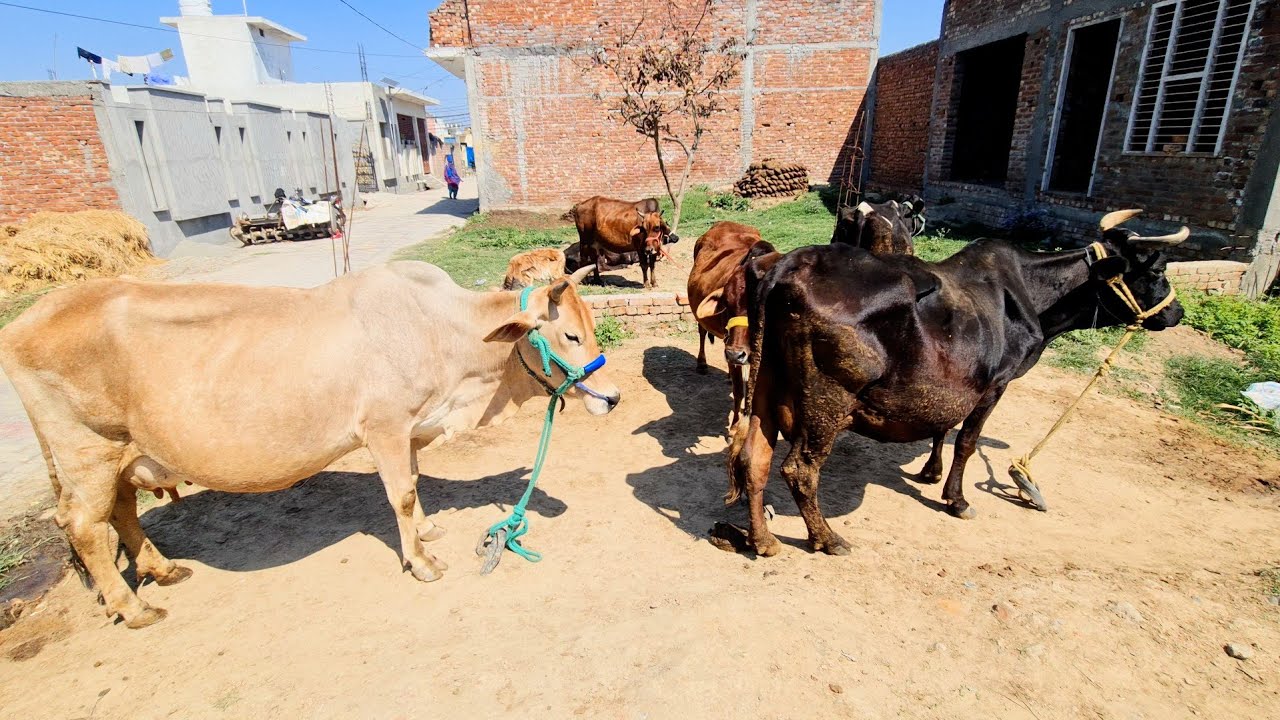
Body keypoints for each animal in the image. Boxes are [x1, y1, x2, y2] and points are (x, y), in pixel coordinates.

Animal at [0, 263, 619, 628]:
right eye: (569, 334)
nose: (611, 397)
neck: (445, 335)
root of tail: (24, 321)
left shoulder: (409, 428)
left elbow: (414, 484)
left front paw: (426, 530)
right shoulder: (384, 427)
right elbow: (400, 493)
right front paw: (420, 560)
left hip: (122, 452)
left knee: (122, 509)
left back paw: (162, 568)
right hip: (87, 450)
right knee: (85, 525)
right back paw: (134, 606)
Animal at [686, 222, 780, 426]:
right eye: (727, 304)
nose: (734, 354)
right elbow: (739, 391)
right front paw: (736, 424)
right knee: (702, 333)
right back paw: (702, 364)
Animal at [727, 210, 1186, 557]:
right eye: (1158, 270)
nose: (1176, 312)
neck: (1029, 292)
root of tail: (786, 267)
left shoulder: (953, 380)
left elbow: (943, 425)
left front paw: (930, 471)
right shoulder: (995, 384)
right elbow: (966, 441)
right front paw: (957, 498)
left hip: (766, 385)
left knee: (754, 459)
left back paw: (763, 540)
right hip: (827, 400)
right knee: (800, 469)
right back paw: (827, 539)